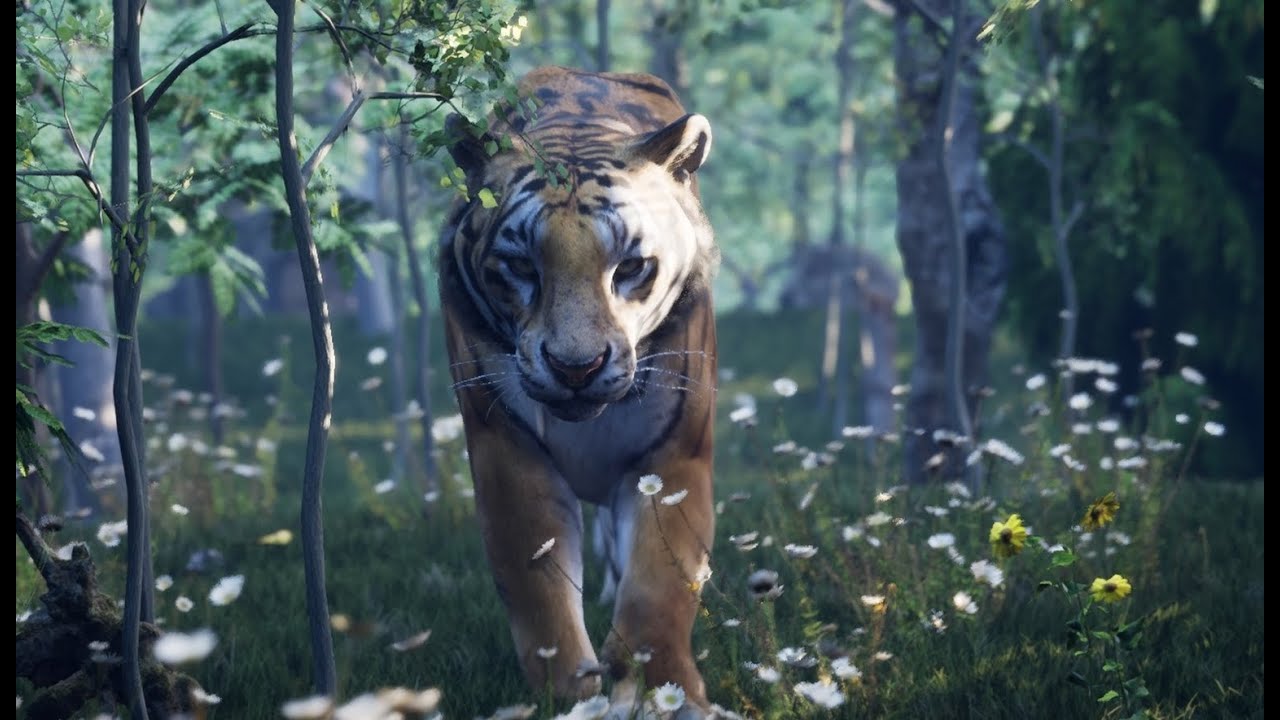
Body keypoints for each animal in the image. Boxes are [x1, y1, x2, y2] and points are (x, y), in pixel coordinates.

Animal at [438, 66, 719, 714]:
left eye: (631, 267)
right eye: (521, 266)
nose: (576, 368)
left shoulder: (673, 452)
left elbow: (660, 588)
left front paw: (666, 692)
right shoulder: (505, 445)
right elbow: (537, 584)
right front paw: (568, 692)